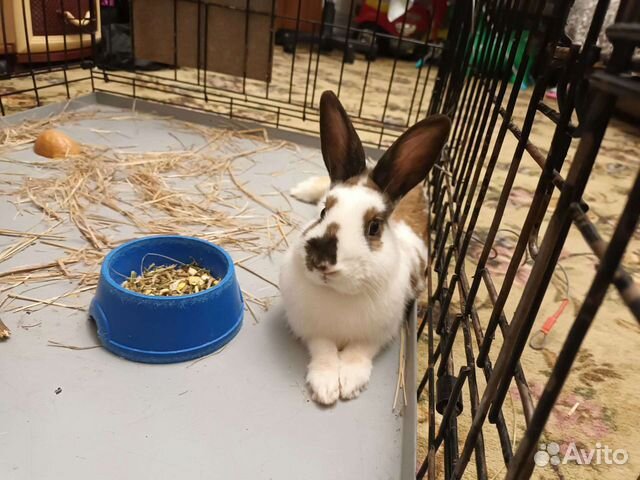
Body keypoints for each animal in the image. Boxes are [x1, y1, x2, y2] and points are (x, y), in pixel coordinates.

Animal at [279, 90, 451, 405]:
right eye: (324, 212)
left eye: (374, 227)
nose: (322, 259)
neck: (339, 295)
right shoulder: (313, 331)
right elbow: (324, 352)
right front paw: (325, 387)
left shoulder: (379, 334)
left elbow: (358, 353)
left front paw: (349, 382)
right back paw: (302, 189)